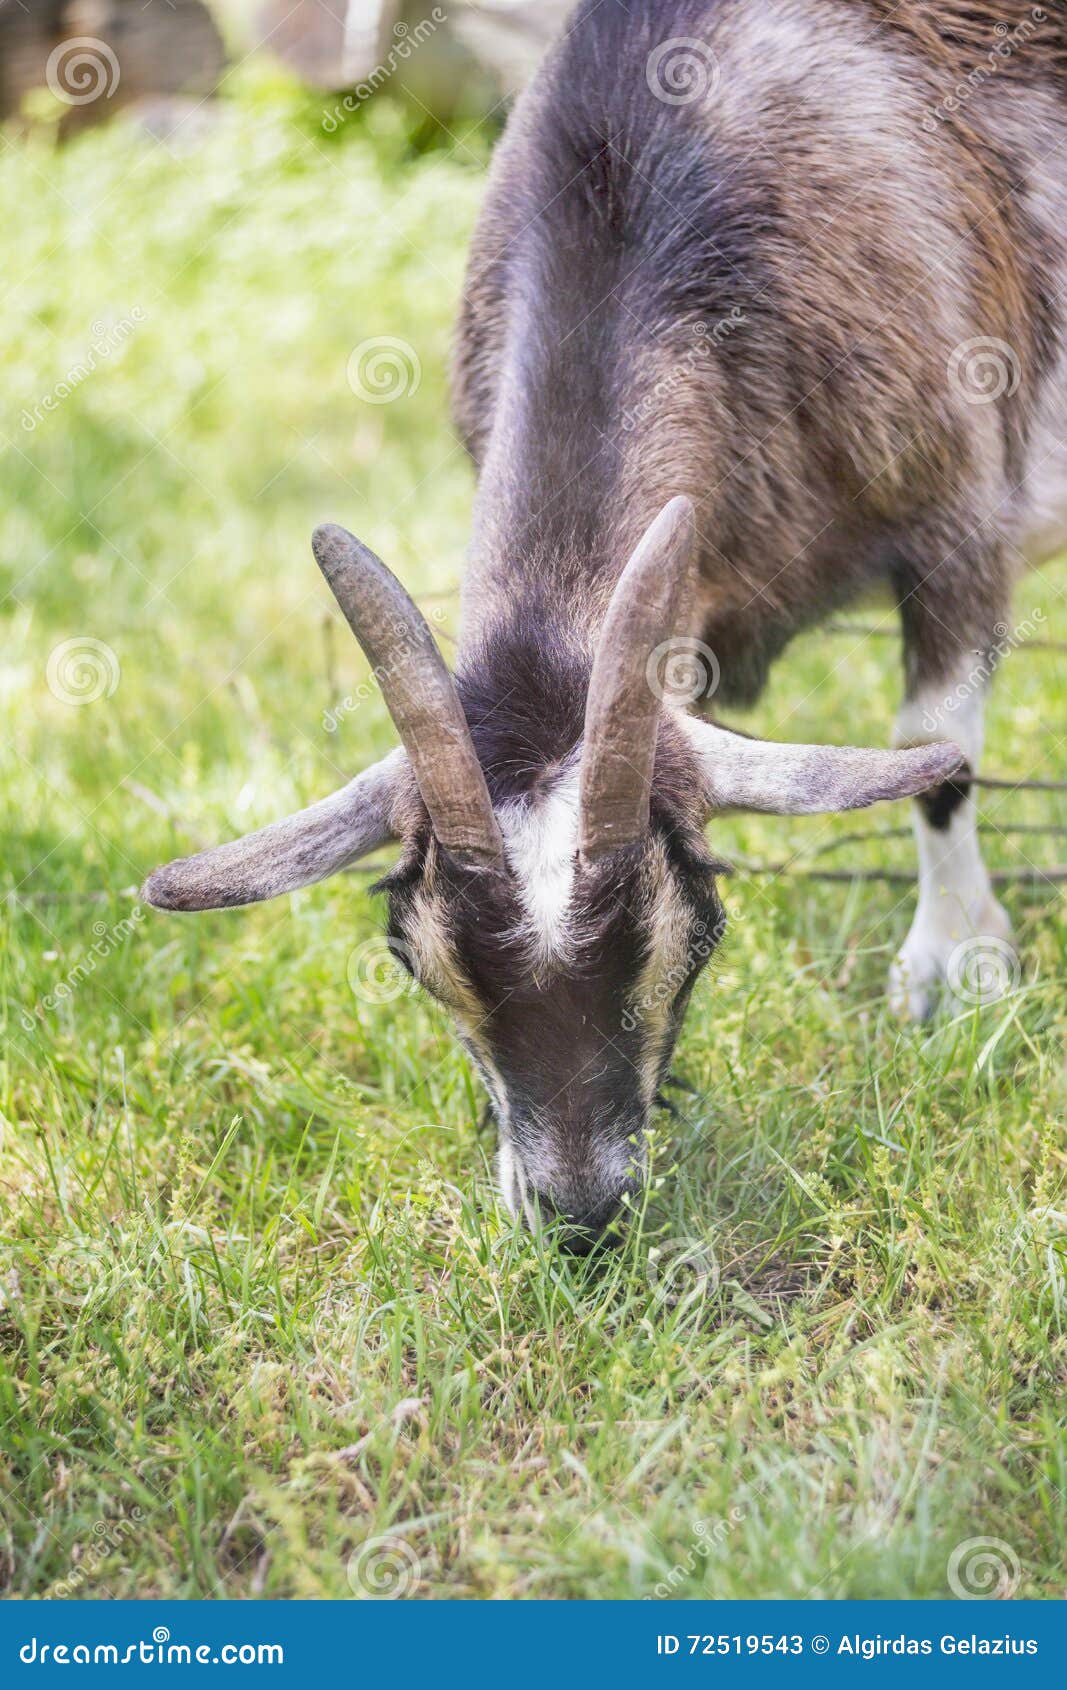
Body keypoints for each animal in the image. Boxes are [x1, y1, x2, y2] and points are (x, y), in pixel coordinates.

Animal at [144, 0, 1067, 1249]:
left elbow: (937, 756)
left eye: (692, 923)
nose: (579, 1216)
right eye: (413, 953)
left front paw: (954, 966)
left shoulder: (959, 517)